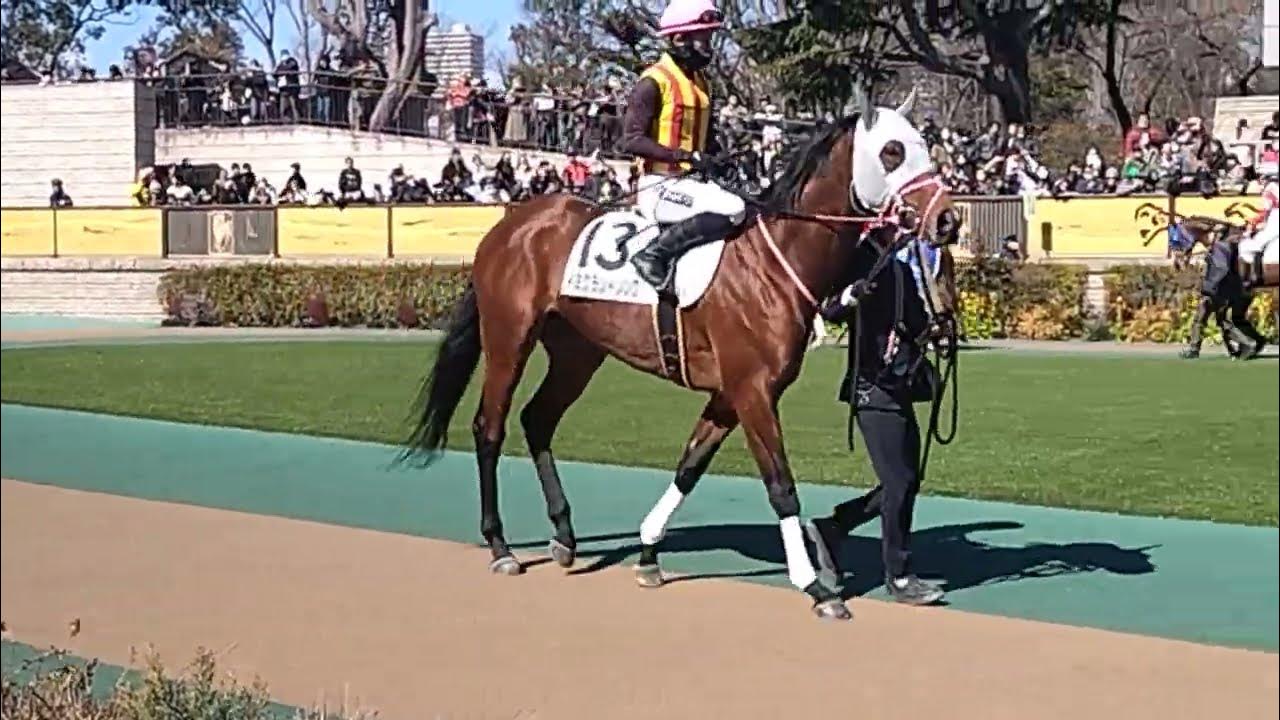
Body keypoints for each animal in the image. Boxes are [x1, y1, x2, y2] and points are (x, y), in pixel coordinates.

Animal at [403, 90, 961, 620]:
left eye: (924, 144)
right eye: (892, 151)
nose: (948, 219)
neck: (773, 260)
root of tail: (511, 223)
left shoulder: (729, 395)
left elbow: (689, 467)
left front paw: (649, 553)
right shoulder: (753, 392)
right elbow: (780, 484)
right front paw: (816, 587)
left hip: (578, 352)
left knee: (537, 419)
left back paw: (563, 535)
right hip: (508, 338)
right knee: (489, 427)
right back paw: (500, 545)